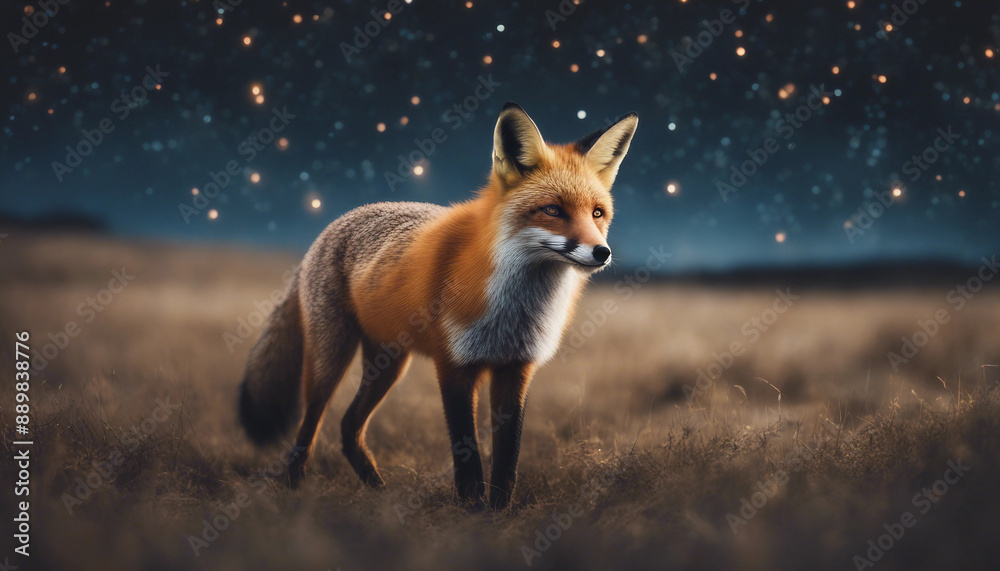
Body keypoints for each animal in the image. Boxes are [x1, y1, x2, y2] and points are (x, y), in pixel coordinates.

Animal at [238, 102, 637, 509]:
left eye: (597, 213)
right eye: (553, 210)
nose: (602, 252)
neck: (514, 310)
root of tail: (331, 227)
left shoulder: (516, 368)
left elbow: (507, 458)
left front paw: (501, 513)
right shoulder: (454, 366)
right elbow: (468, 457)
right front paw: (472, 512)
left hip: (388, 365)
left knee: (348, 427)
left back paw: (378, 492)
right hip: (330, 361)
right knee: (308, 429)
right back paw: (295, 494)